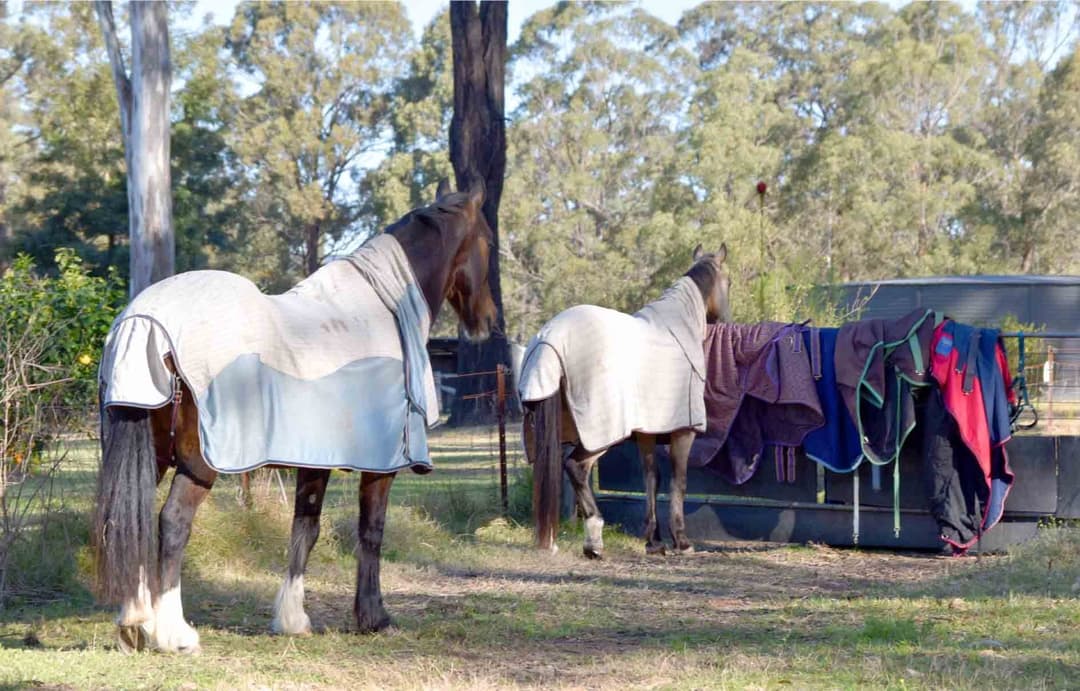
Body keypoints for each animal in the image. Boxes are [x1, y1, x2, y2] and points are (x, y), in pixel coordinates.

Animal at [93, 181, 496, 653]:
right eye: (489, 241)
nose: (487, 320)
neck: (377, 312)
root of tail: (145, 322)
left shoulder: (314, 459)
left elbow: (306, 528)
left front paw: (292, 618)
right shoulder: (380, 465)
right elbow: (370, 531)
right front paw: (373, 617)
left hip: (149, 453)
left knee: (127, 519)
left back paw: (133, 625)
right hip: (198, 464)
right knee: (173, 523)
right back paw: (174, 634)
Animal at [519, 244, 731, 558]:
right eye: (727, 282)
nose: (725, 320)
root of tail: (549, 339)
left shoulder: (646, 433)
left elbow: (651, 479)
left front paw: (654, 542)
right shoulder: (684, 431)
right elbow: (678, 481)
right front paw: (681, 542)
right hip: (600, 434)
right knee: (576, 467)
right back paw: (594, 540)